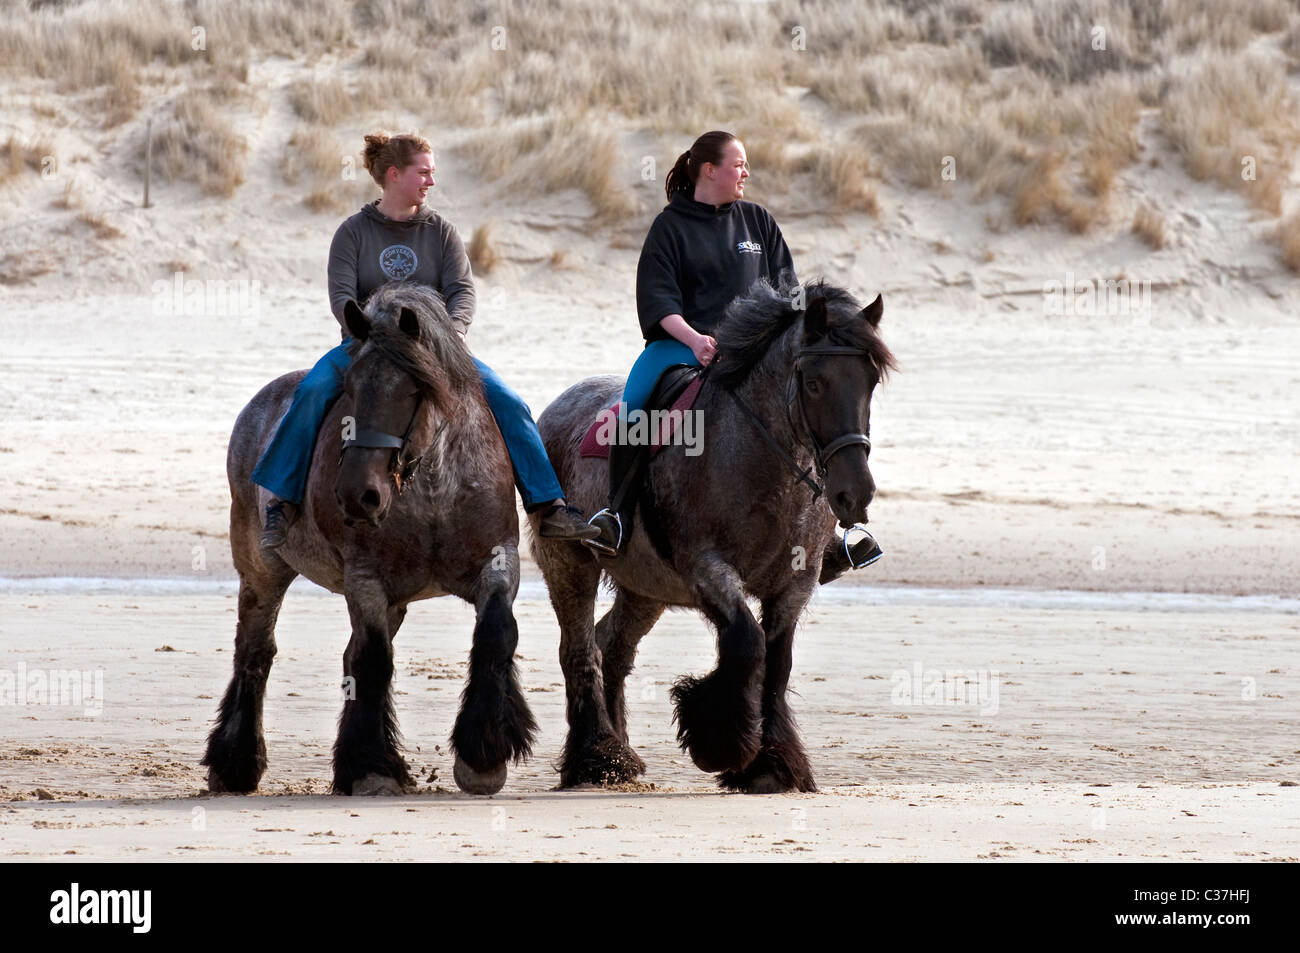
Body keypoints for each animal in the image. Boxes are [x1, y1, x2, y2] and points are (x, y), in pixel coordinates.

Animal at [202, 282, 536, 796]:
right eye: (352, 389)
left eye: (415, 390)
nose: (359, 494)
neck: (432, 486)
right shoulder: (365, 579)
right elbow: (375, 660)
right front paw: (374, 768)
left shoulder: (499, 563)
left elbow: (495, 633)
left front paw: (483, 756)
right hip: (261, 566)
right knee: (255, 651)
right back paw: (234, 763)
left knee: (344, 654)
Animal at [530, 279, 895, 793]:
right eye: (815, 383)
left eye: (870, 382)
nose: (854, 493)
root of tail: (556, 407)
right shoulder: (708, 568)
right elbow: (747, 642)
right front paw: (721, 742)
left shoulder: (795, 583)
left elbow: (777, 661)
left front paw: (773, 763)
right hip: (567, 563)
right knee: (579, 651)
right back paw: (597, 758)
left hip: (646, 589)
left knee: (611, 647)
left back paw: (619, 754)